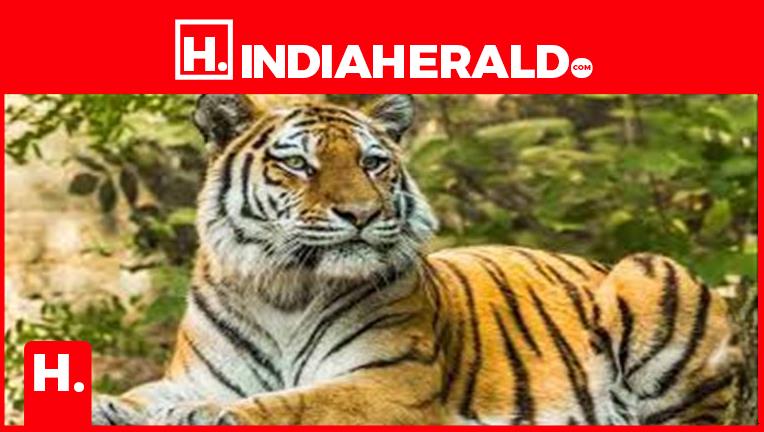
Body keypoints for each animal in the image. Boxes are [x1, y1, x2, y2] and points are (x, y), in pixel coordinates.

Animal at [91, 94, 742, 425]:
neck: (284, 286)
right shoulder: (196, 372)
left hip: (648, 272)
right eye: (298, 164)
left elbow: (298, 401)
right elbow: (144, 394)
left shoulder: (390, 382)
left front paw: (207, 416)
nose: (360, 213)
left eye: (373, 162)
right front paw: (109, 405)